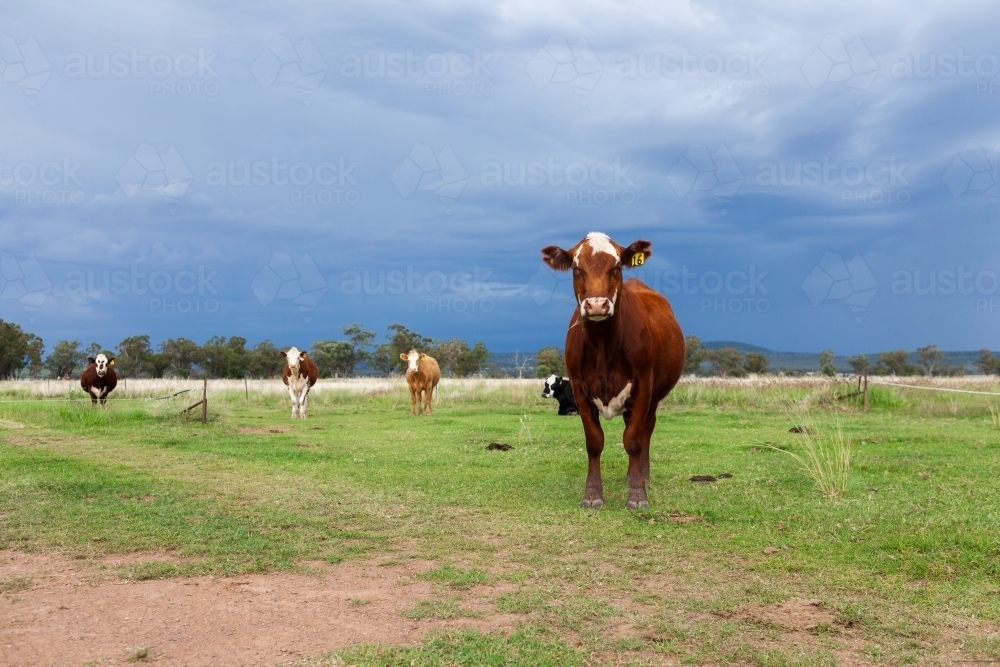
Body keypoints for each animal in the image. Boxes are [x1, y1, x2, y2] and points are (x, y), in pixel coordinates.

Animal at [541, 232, 685, 510]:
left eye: (616, 267)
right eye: (576, 269)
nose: (597, 305)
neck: (603, 344)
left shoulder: (643, 386)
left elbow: (633, 440)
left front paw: (638, 495)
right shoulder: (579, 389)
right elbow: (594, 441)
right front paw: (592, 494)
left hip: (653, 398)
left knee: (645, 430)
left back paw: (641, 475)